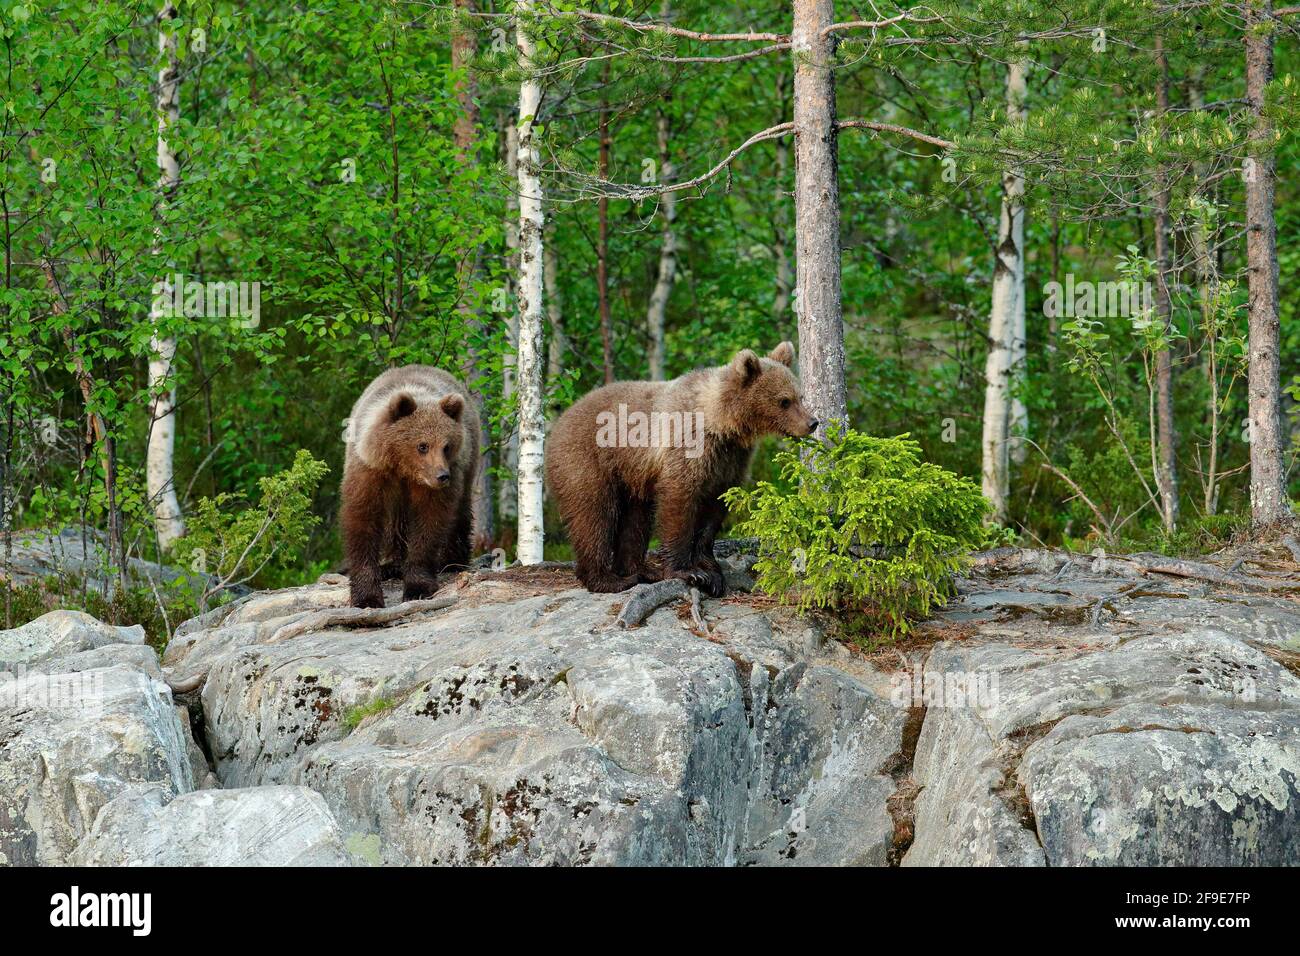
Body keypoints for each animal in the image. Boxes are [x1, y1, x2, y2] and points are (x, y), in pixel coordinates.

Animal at [341, 365, 480, 609]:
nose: (442, 476)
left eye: (446, 446)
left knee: (460, 510)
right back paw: (392, 565)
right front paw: (367, 597)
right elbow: (363, 519)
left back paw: (453, 561)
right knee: (394, 521)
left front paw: (417, 587)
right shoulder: (369, 471)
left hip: (467, 463)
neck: (403, 467)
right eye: (422, 446)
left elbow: (429, 522)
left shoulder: (431, 487)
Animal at [545, 342, 818, 597]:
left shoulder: (730, 460)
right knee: (594, 515)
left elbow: (713, 511)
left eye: (800, 396)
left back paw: (641, 570)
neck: (721, 424)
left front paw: (712, 572)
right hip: (587, 460)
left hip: (633, 477)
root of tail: (561, 420)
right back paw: (607, 579)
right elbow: (679, 501)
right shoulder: (689, 447)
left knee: (636, 519)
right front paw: (689, 572)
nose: (812, 423)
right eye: (784, 401)